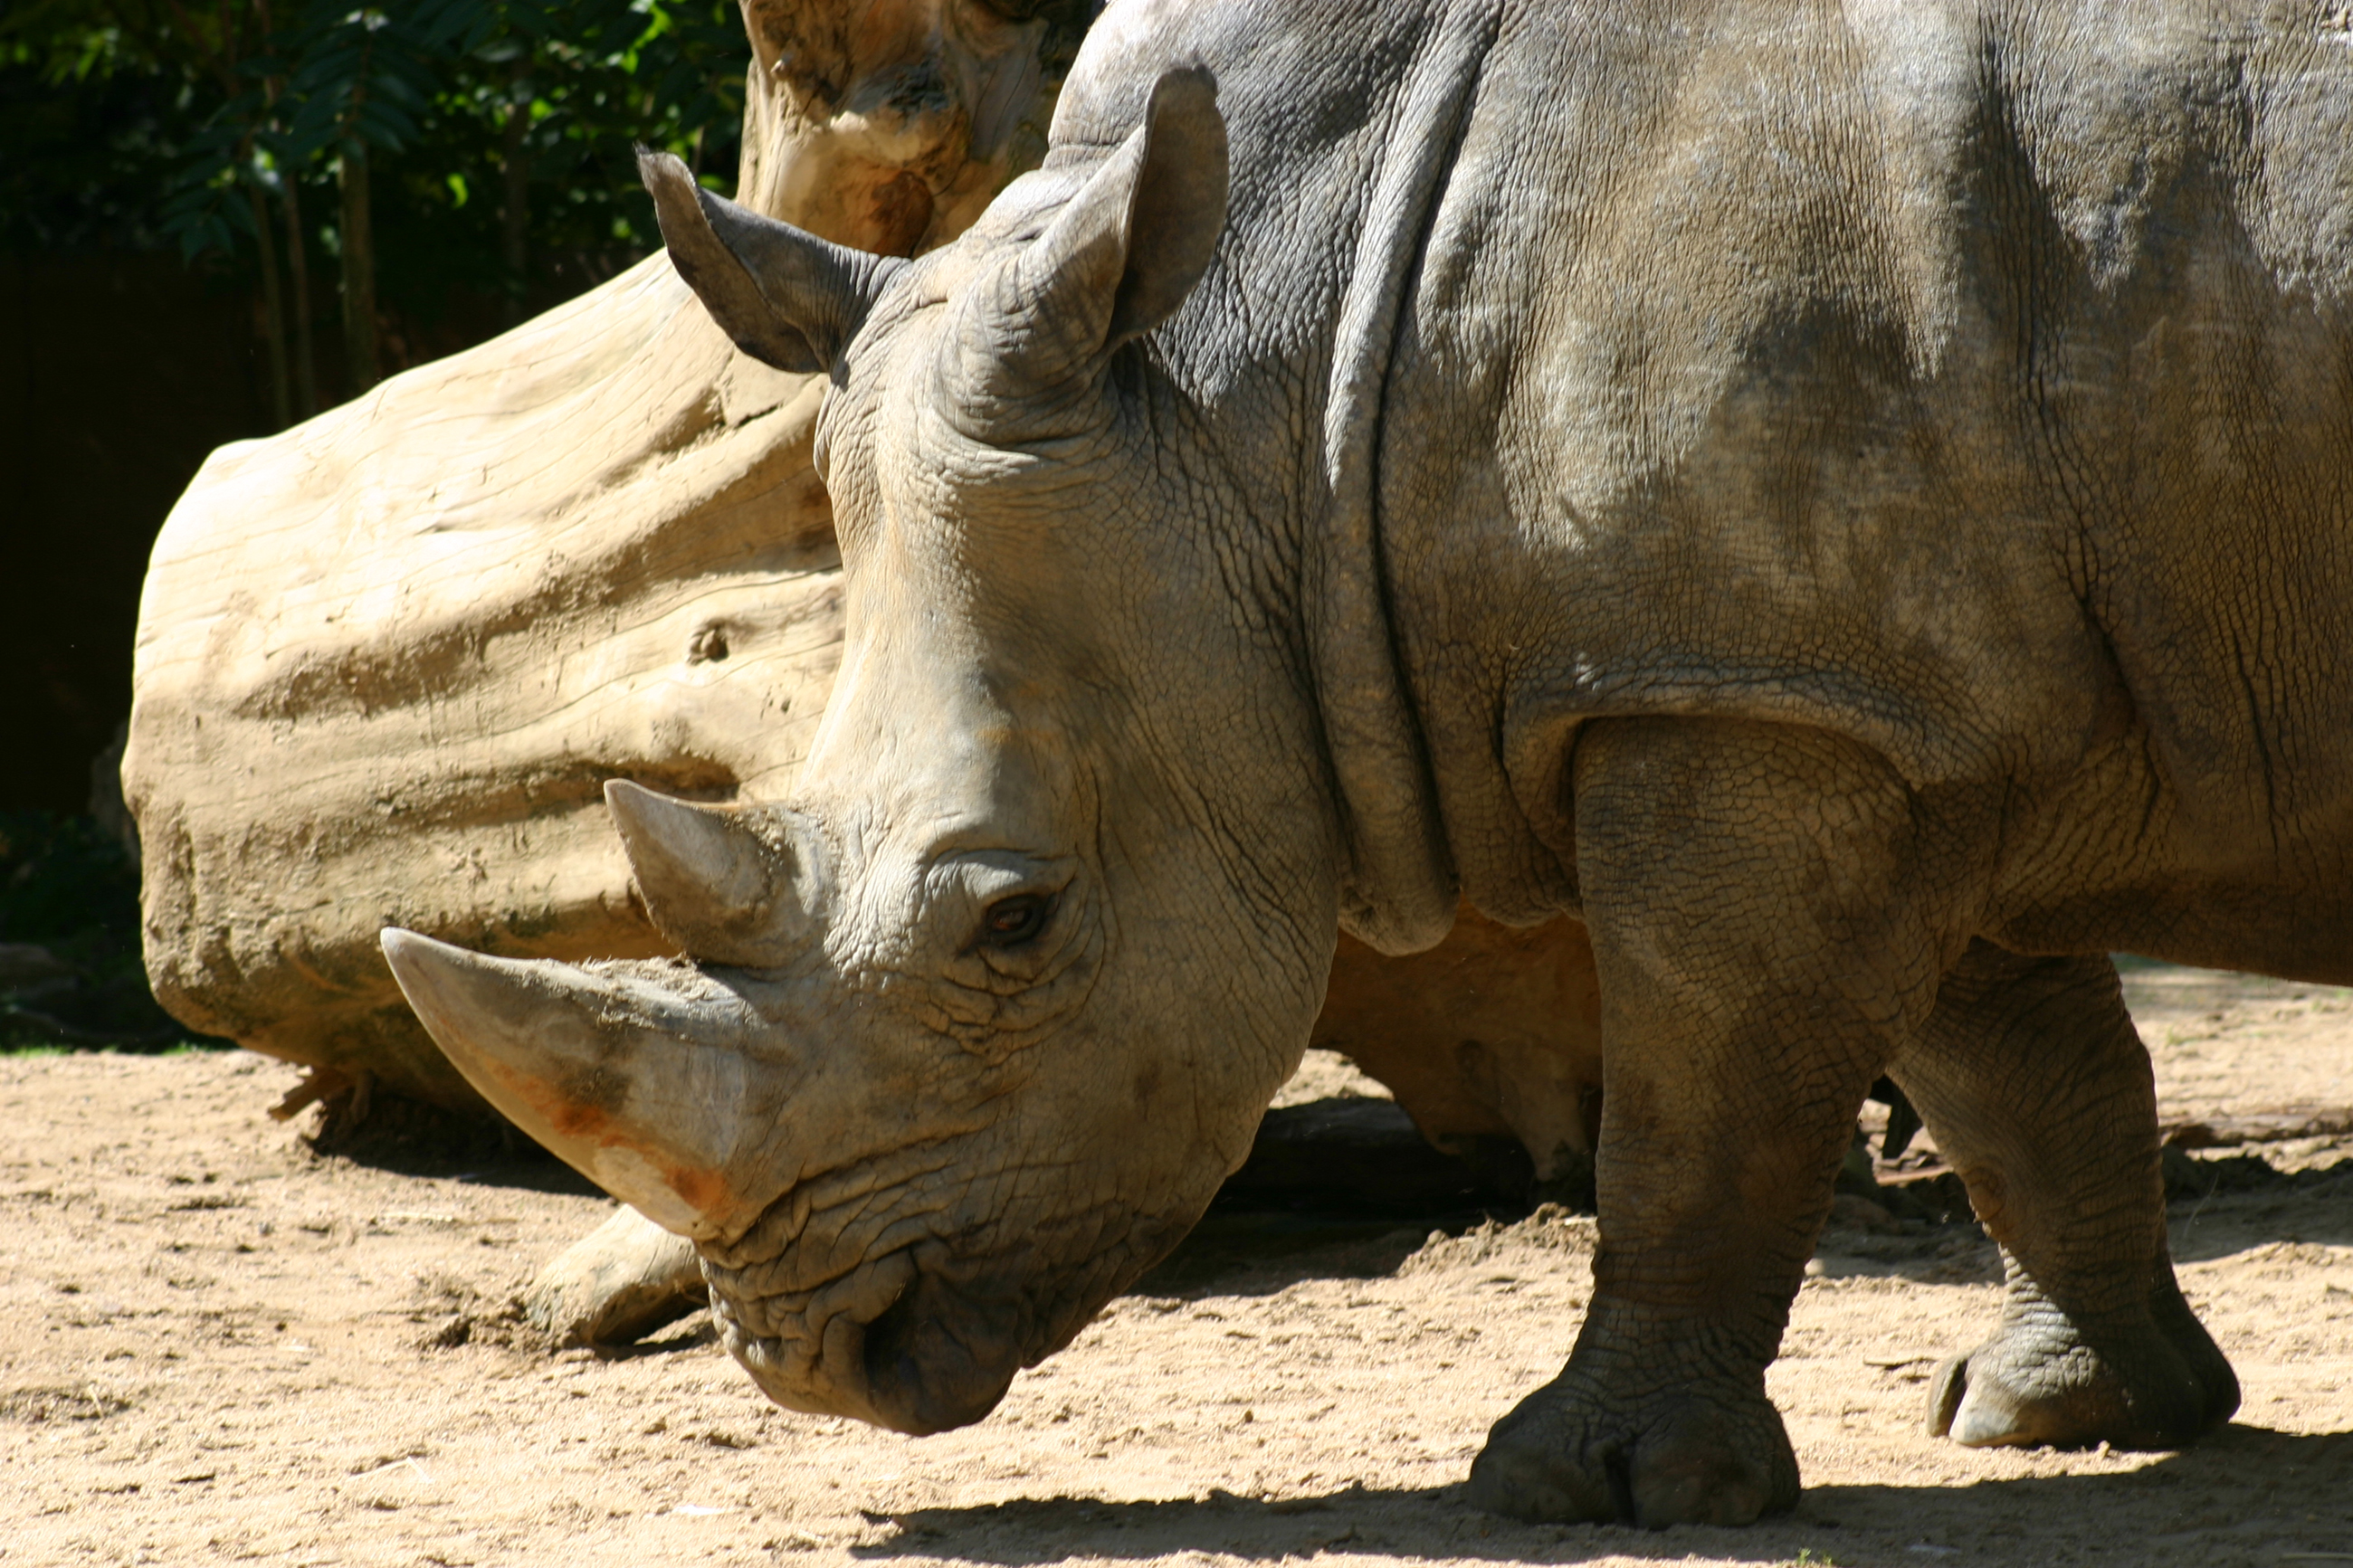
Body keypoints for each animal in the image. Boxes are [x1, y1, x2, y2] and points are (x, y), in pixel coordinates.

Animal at [378, 0, 2353, 1528]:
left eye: (1014, 923)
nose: (815, 1360)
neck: (1262, 389)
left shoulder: (1744, 693)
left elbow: (1701, 1101)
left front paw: (1581, 1484)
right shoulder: (1891, 690)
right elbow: (2016, 1066)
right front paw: (2059, 1409)